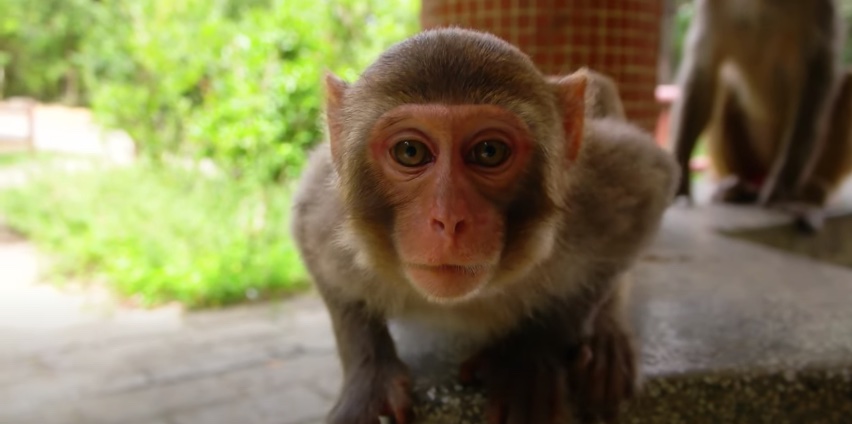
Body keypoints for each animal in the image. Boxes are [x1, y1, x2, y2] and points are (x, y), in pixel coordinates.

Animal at [291, 28, 678, 424]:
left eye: (489, 151)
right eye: (410, 151)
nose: (449, 219)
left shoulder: (602, 189)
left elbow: (650, 187)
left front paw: (528, 358)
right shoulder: (324, 215)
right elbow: (313, 240)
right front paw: (370, 375)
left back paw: (606, 336)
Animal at [669, 0, 846, 231]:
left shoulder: (821, 8)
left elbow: (816, 77)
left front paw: (780, 195)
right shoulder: (711, 7)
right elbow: (702, 74)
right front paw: (678, 183)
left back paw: (810, 193)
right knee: (725, 82)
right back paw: (738, 188)